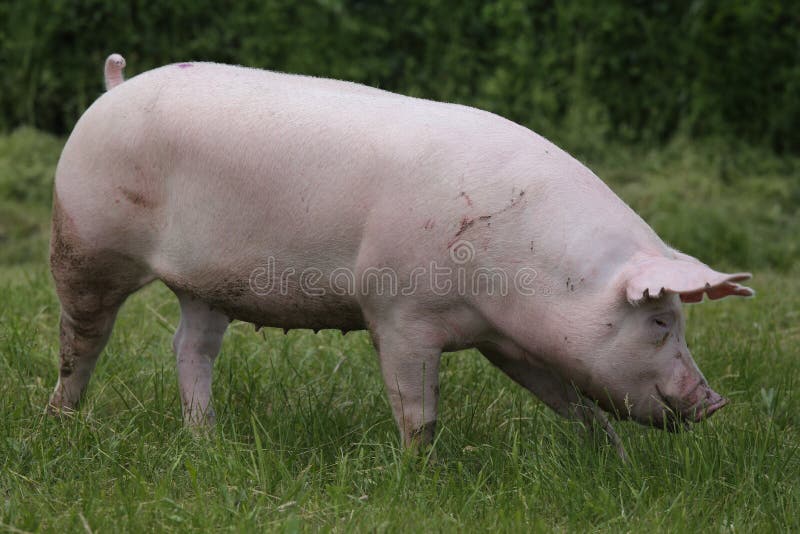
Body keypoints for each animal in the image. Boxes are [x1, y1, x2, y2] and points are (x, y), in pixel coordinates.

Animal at [47, 54, 754, 458]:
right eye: (659, 322)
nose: (716, 402)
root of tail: (111, 89)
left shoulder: (513, 342)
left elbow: (570, 399)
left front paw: (615, 458)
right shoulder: (399, 313)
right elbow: (416, 406)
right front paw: (421, 472)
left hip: (205, 285)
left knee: (189, 350)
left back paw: (208, 444)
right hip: (83, 239)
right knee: (82, 340)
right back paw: (61, 423)